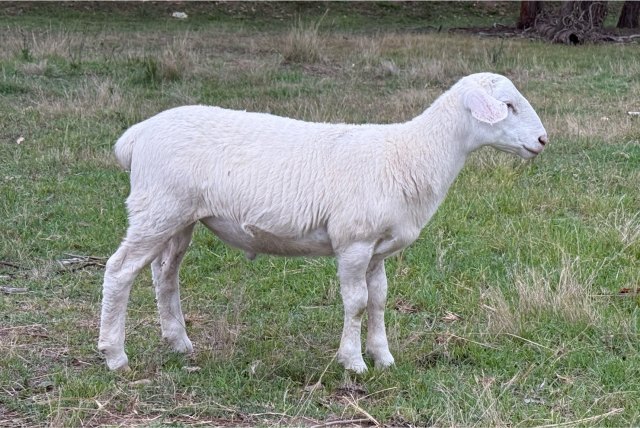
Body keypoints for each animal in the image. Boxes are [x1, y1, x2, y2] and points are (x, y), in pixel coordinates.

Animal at [98, 72, 548, 373]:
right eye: (508, 106)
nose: (543, 141)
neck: (411, 154)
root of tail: (136, 135)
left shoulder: (378, 249)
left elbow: (379, 299)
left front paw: (383, 356)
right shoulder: (353, 241)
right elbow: (357, 302)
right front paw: (353, 361)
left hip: (179, 217)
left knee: (164, 273)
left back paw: (178, 342)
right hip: (157, 207)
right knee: (120, 271)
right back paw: (115, 355)